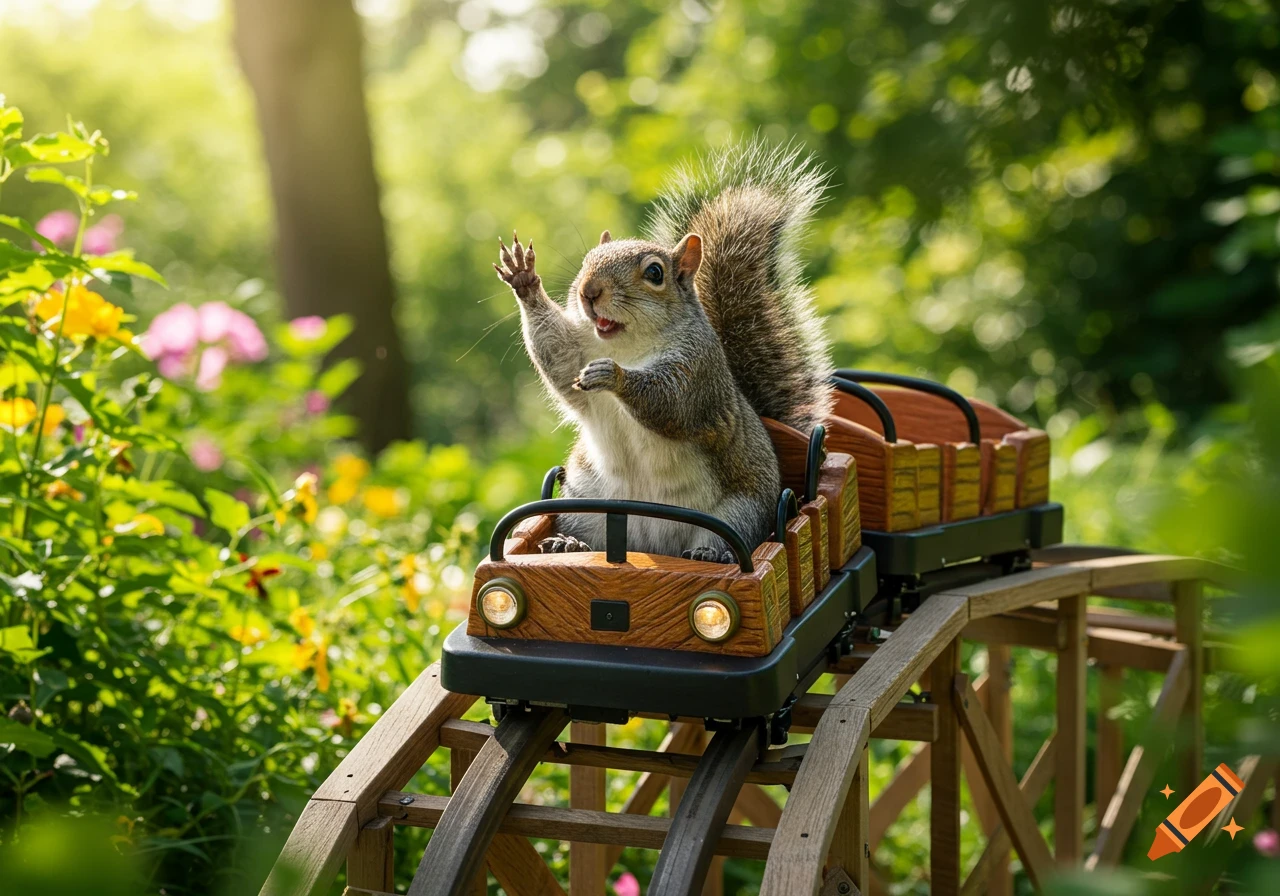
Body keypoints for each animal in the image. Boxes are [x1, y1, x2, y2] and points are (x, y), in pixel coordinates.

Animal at [494, 141, 832, 562]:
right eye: (587, 261)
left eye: (654, 273)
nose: (589, 291)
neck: (627, 346)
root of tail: (648, 546)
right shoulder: (577, 354)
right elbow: (558, 360)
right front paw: (524, 280)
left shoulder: (698, 368)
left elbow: (673, 402)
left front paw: (614, 376)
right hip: (583, 503)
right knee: (589, 533)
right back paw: (566, 543)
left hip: (738, 512)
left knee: (725, 537)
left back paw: (710, 555)